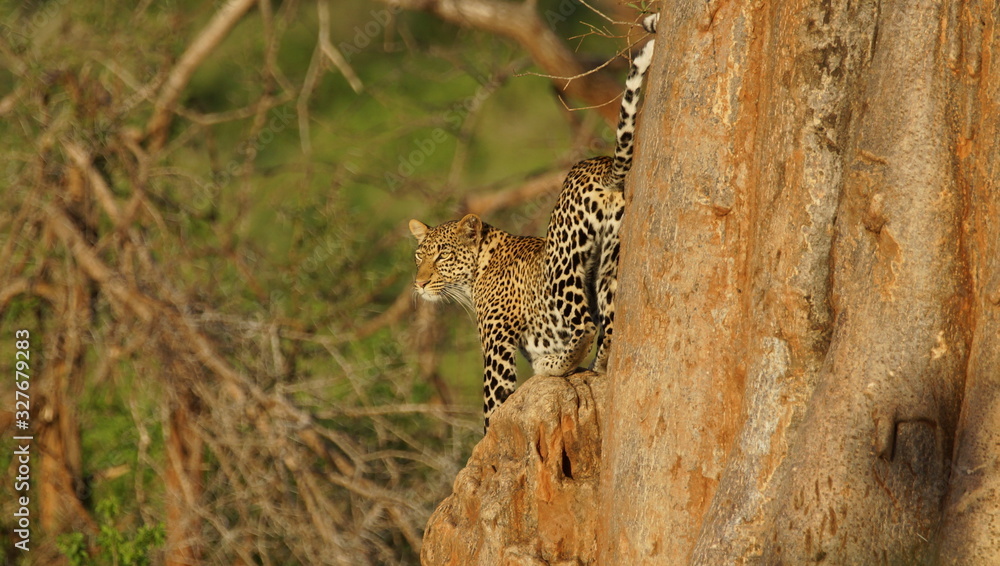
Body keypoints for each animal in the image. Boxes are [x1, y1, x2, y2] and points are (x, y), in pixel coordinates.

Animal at [409, 14, 658, 431]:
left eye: (441, 256)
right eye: (418, 256)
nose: (420, 283)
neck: (478, 270)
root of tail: (602, 165)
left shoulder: (496, 341)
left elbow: (493, 405)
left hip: (563, 262)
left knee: (584, 324)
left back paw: (556, 365)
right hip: (611, 259)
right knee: (606, 325)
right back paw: (597, 366)